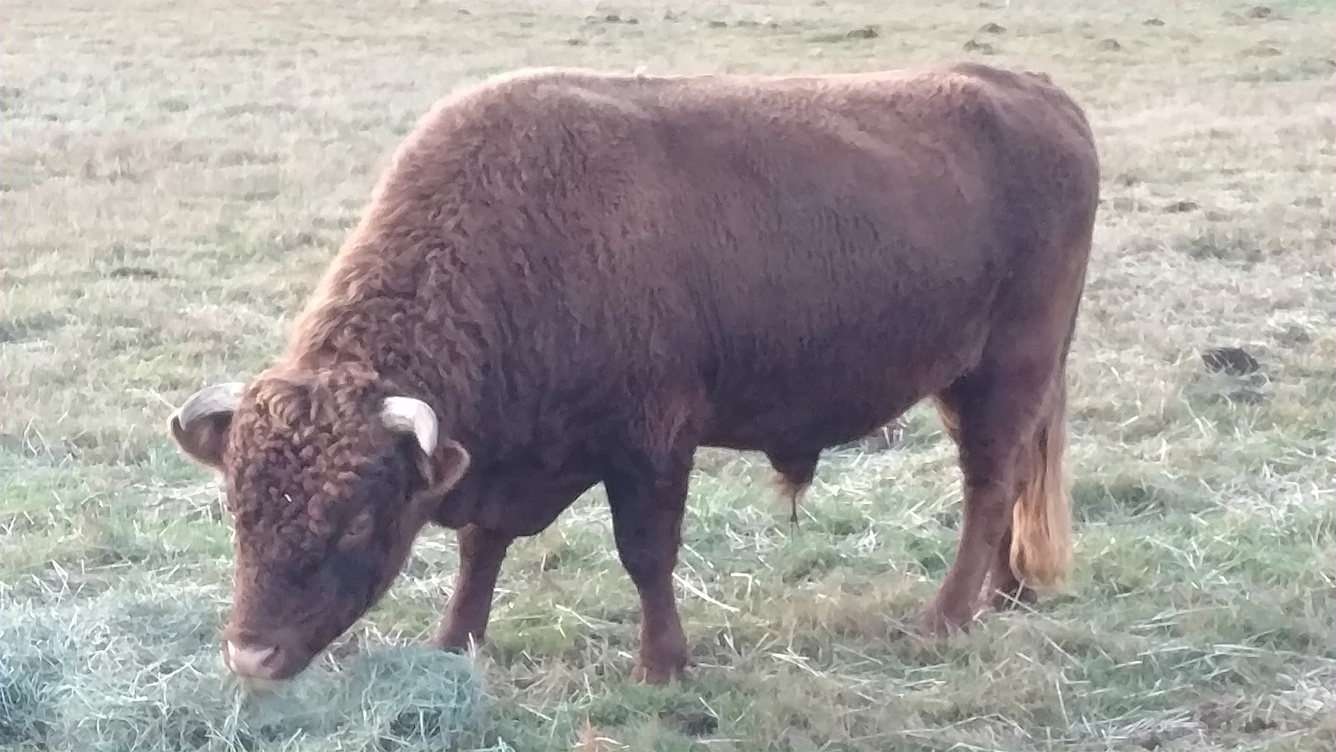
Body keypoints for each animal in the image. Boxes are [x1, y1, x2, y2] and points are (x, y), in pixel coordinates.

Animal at [167, 61, 1099, 688]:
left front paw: (662, 665)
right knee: (1011, 479)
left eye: (358, 518)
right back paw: (1006, 596)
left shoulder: (650, 446)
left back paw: (945, 617)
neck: (525, 238)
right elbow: (481, 547)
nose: (251, 653)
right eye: (238, 508)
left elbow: (645, 554)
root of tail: (1039, 93)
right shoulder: (505, 458)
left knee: (987, 488)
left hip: (1005, 373)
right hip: (976, 385)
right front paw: (454, 641)